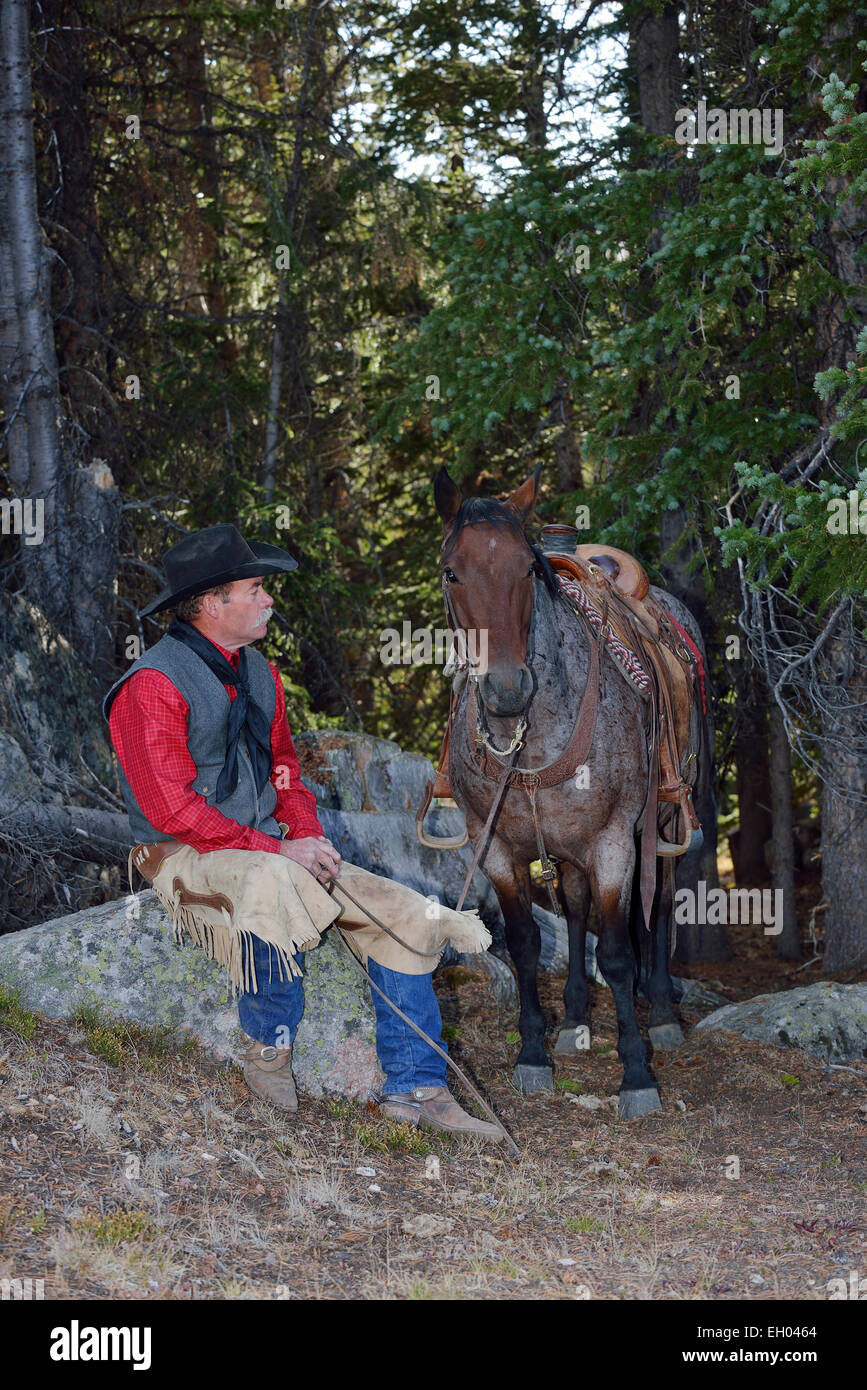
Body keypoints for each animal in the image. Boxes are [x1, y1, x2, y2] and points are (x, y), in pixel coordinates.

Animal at [434, 464, 714, 1117]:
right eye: (452, 571)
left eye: (526, 569)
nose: (507, 689)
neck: (529, 742)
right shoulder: (497, 850)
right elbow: (525, 942)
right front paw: (534, 1054)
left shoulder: (614, 842)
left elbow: (616, 951)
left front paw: (637, 1074)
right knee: (578, 907)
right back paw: (577, 1018)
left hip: (665, 820)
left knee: (659, 899)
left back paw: (662, 1014)